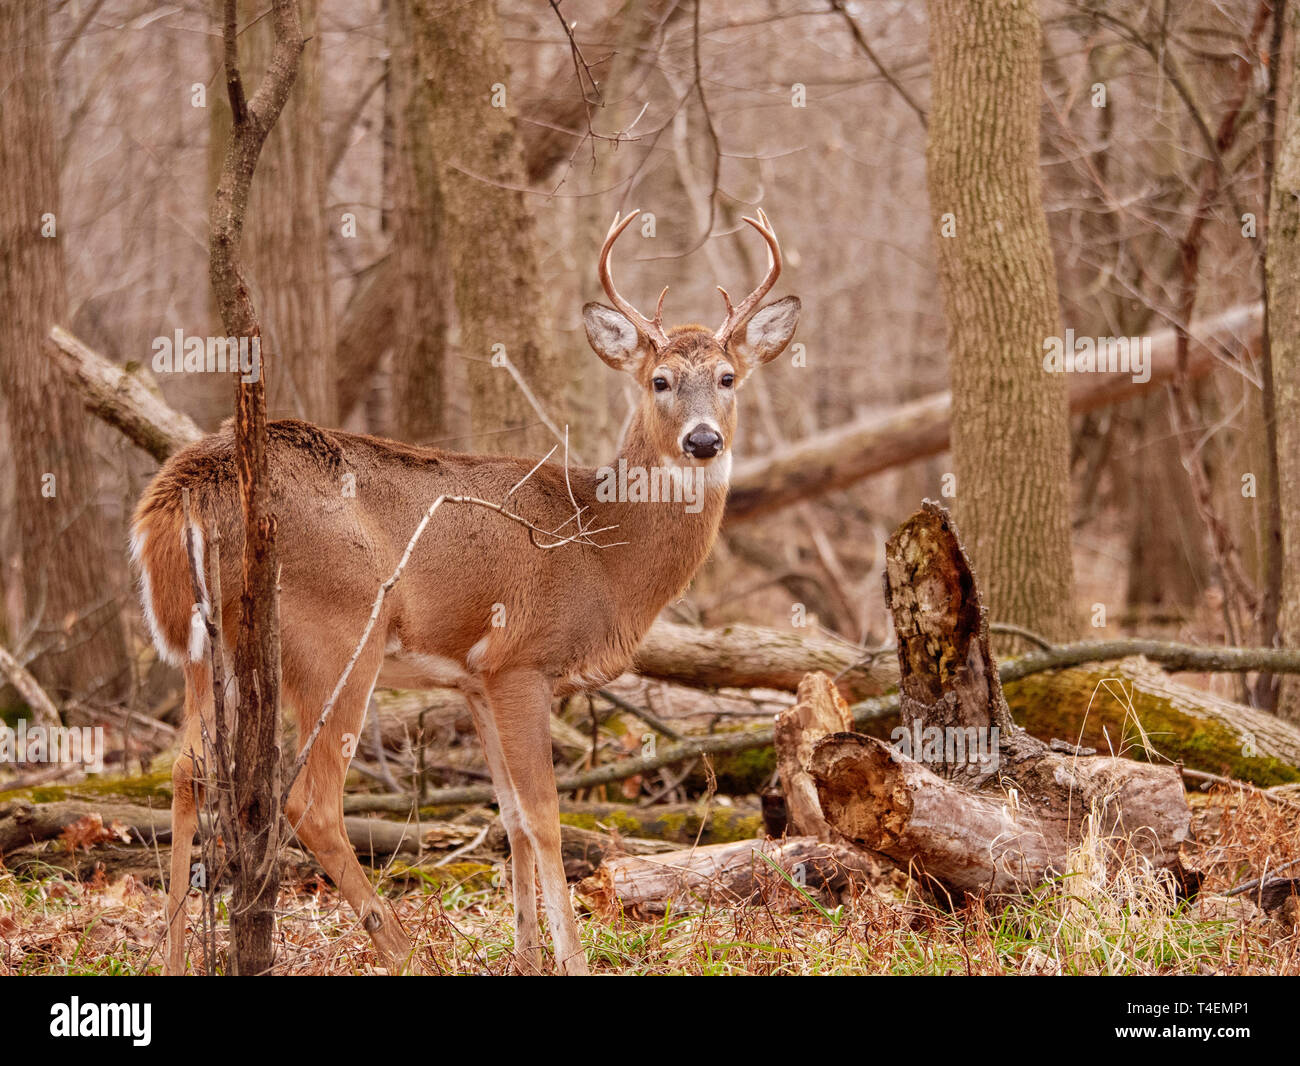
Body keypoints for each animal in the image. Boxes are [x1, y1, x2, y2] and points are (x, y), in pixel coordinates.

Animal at [130, 208, 799, 976]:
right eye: (658, 381)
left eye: (727, 376)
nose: (703, 440)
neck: (602, 549)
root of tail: (185, 485)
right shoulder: (521, 661)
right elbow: (544, 817)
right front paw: (571, 957)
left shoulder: (475, 678)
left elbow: (509, 816)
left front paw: (528, 954)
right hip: (335, 632)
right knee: (309, 802)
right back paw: (402, 949)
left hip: (207, 648)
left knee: (185, 771)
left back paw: (174, 955)